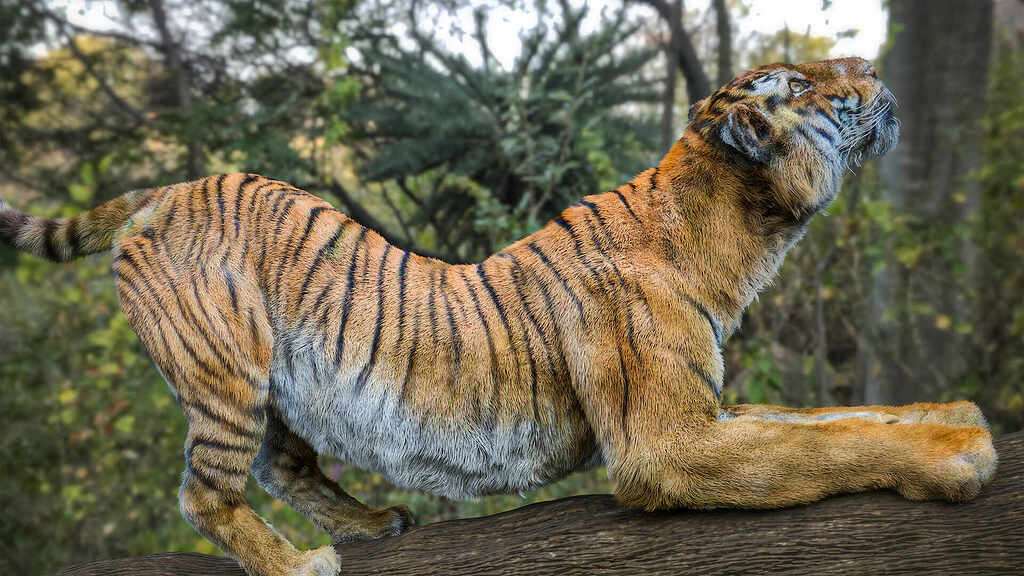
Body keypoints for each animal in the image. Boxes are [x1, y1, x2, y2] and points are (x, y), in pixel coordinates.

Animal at [0, 57, 996, 576]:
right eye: (810, 85)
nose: (872, 69)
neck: (741, 232)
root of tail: (169, 186)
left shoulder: (711, 410)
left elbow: (829, 419)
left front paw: (953, 416)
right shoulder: (669, 442)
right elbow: (826, 447)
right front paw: (957, 458)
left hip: (278, 388)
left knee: (284, 468)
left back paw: (371, 525)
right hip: (223, 371)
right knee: (206, 492)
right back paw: (300, 563)